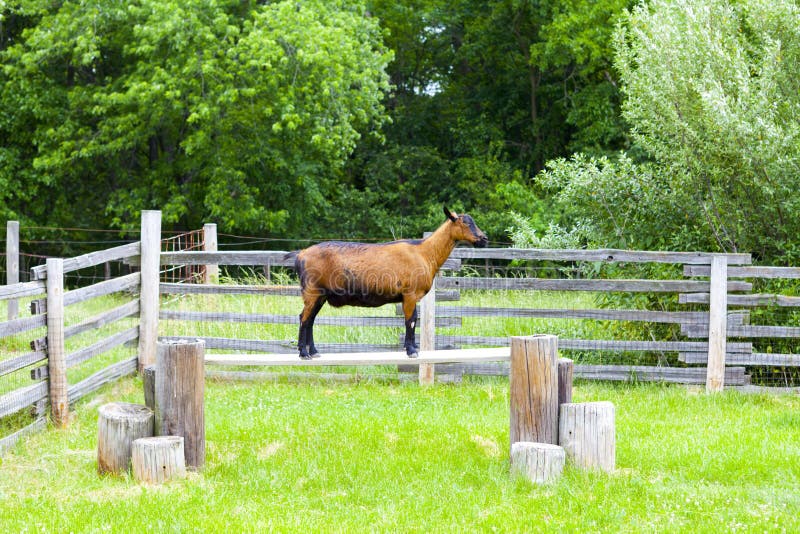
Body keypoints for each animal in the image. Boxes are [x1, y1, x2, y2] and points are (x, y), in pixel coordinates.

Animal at [286, 206, 488, 359]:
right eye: (465, 222)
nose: (484, 239)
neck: (424, 252)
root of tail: (301, 255)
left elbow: (413, 320)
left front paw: (412, 348)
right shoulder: (410, 294)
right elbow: (411, 320)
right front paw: (411, 350)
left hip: (320, 295)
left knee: (310, 319)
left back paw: (314, 351)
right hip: (312, 291)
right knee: (304, 318)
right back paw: (304, 353)